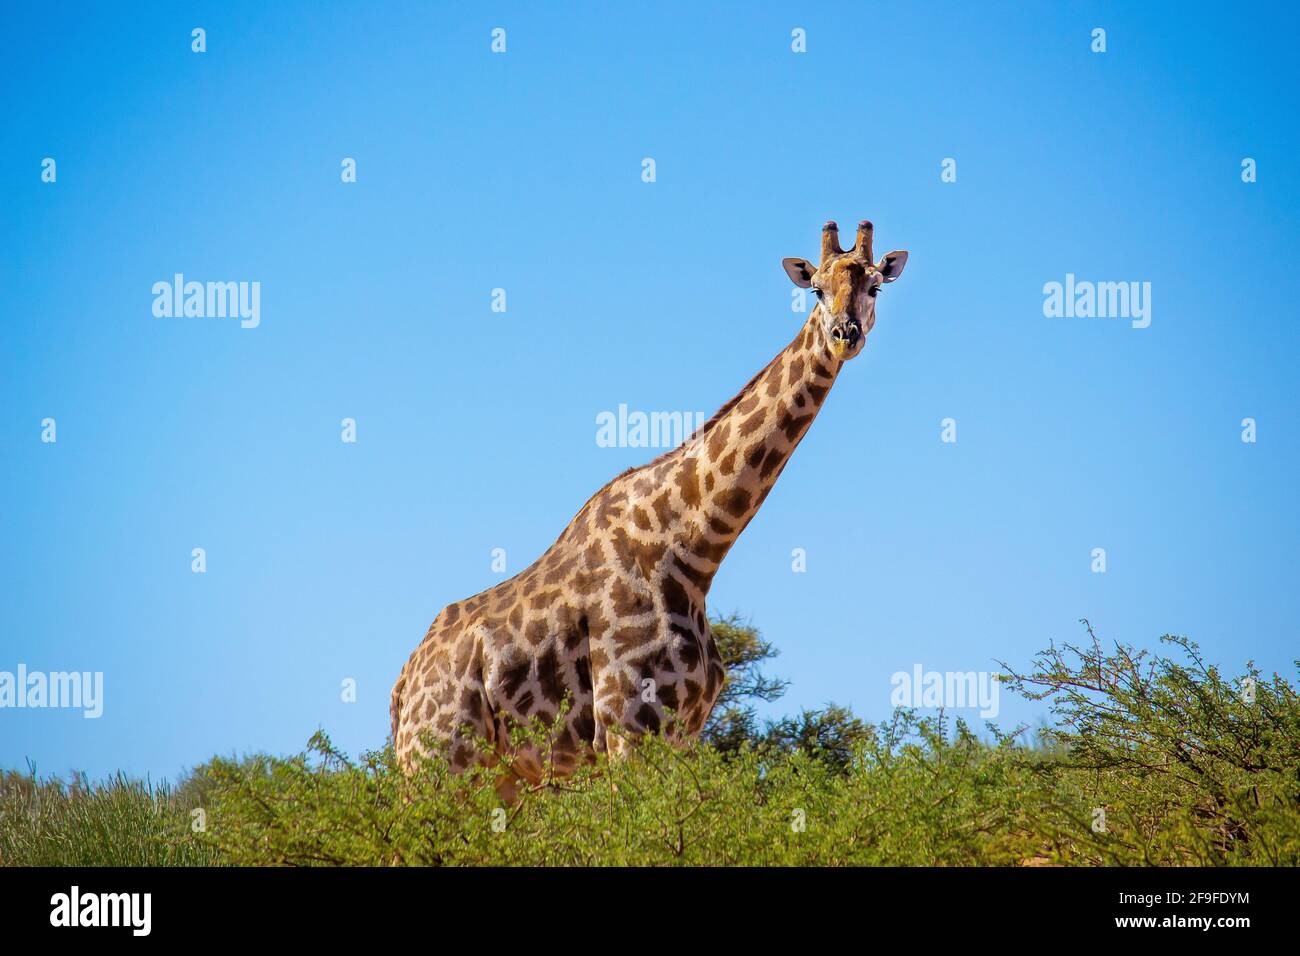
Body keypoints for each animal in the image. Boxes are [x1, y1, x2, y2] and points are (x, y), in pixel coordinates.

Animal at [391, 219, 908, 795]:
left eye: (874, 286)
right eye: (815, 289)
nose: (845, 335)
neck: (693, 549)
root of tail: (402, 688)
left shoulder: (681, 735)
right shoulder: (628, 731)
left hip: (501, 777)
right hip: (440, 768)